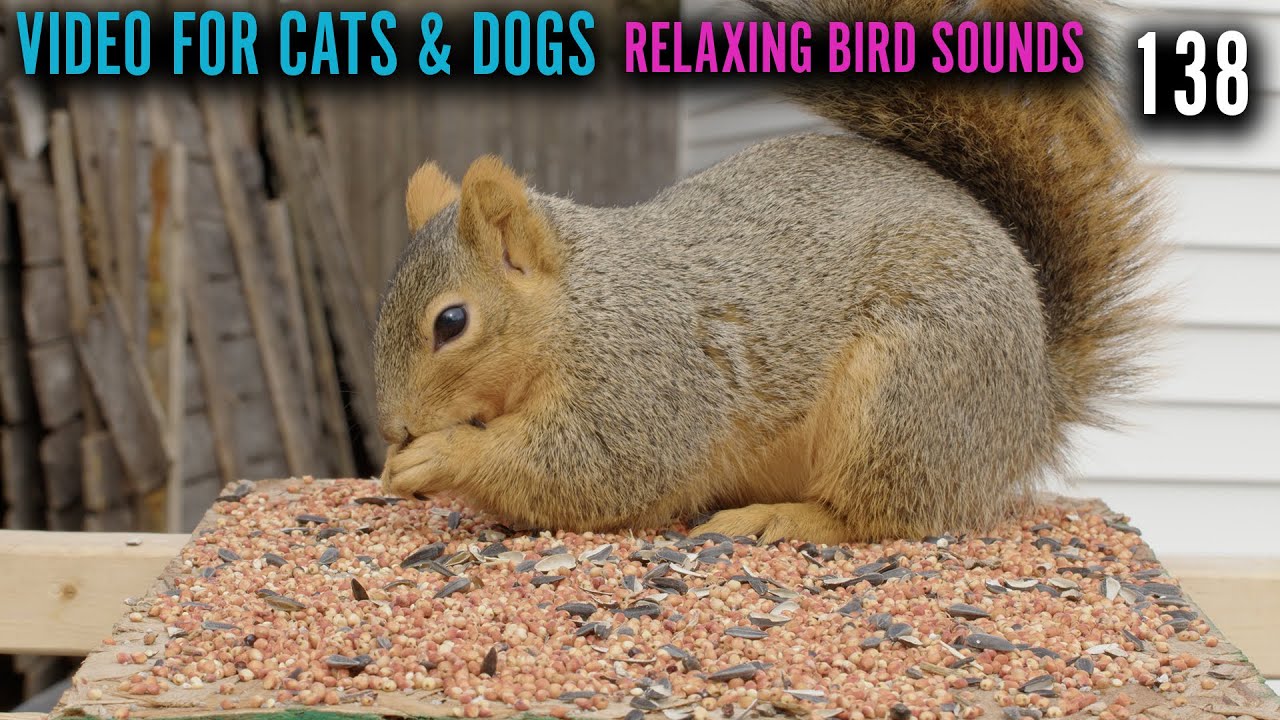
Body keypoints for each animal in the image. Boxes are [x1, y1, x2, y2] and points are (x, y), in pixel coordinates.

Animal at [373, 0, 1164, 544]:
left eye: (452, 322)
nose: (393, 427)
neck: (581, 303)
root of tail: (1034, 403)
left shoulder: (645, 380)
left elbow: (591, 468)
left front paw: (440, 456)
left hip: (905, 396)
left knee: (885, 517)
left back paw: (783, 519)